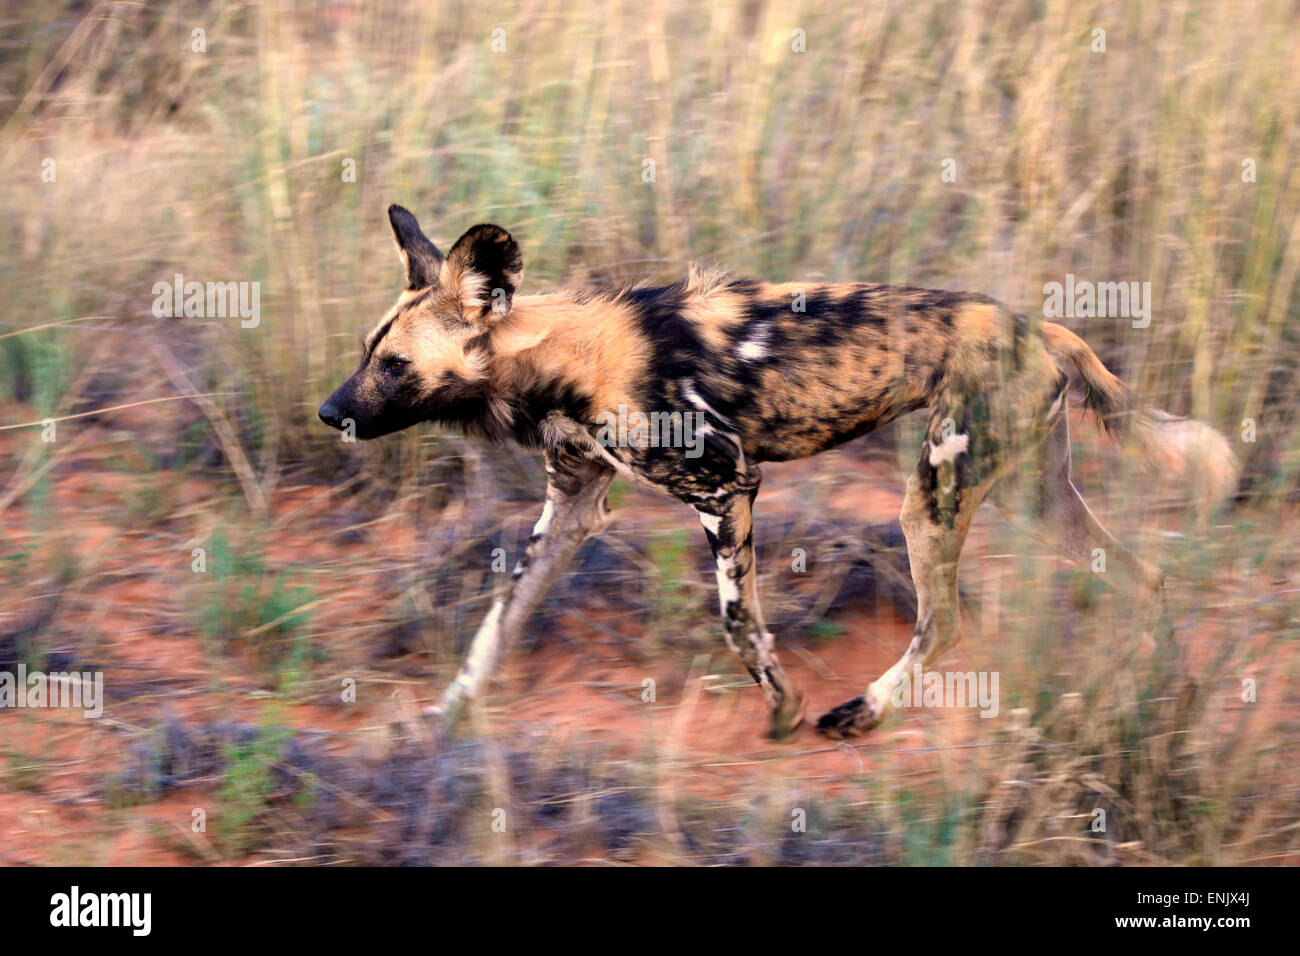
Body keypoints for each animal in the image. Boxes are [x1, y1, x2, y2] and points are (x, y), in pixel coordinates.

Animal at [317, 204, 1237, 738]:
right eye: (366, 351)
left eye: (393, 366)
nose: (329, 413)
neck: (558, 358)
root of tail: (1042, 328)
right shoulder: (573, 509)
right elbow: (496, 624)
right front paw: (447, 715)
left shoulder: (726, 485)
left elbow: (736, 623)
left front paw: (784, 710)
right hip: (1035, 496)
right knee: (1145, 577)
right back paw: (1157, 688)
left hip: (930, 500)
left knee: (946, 622)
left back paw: (861, 711)